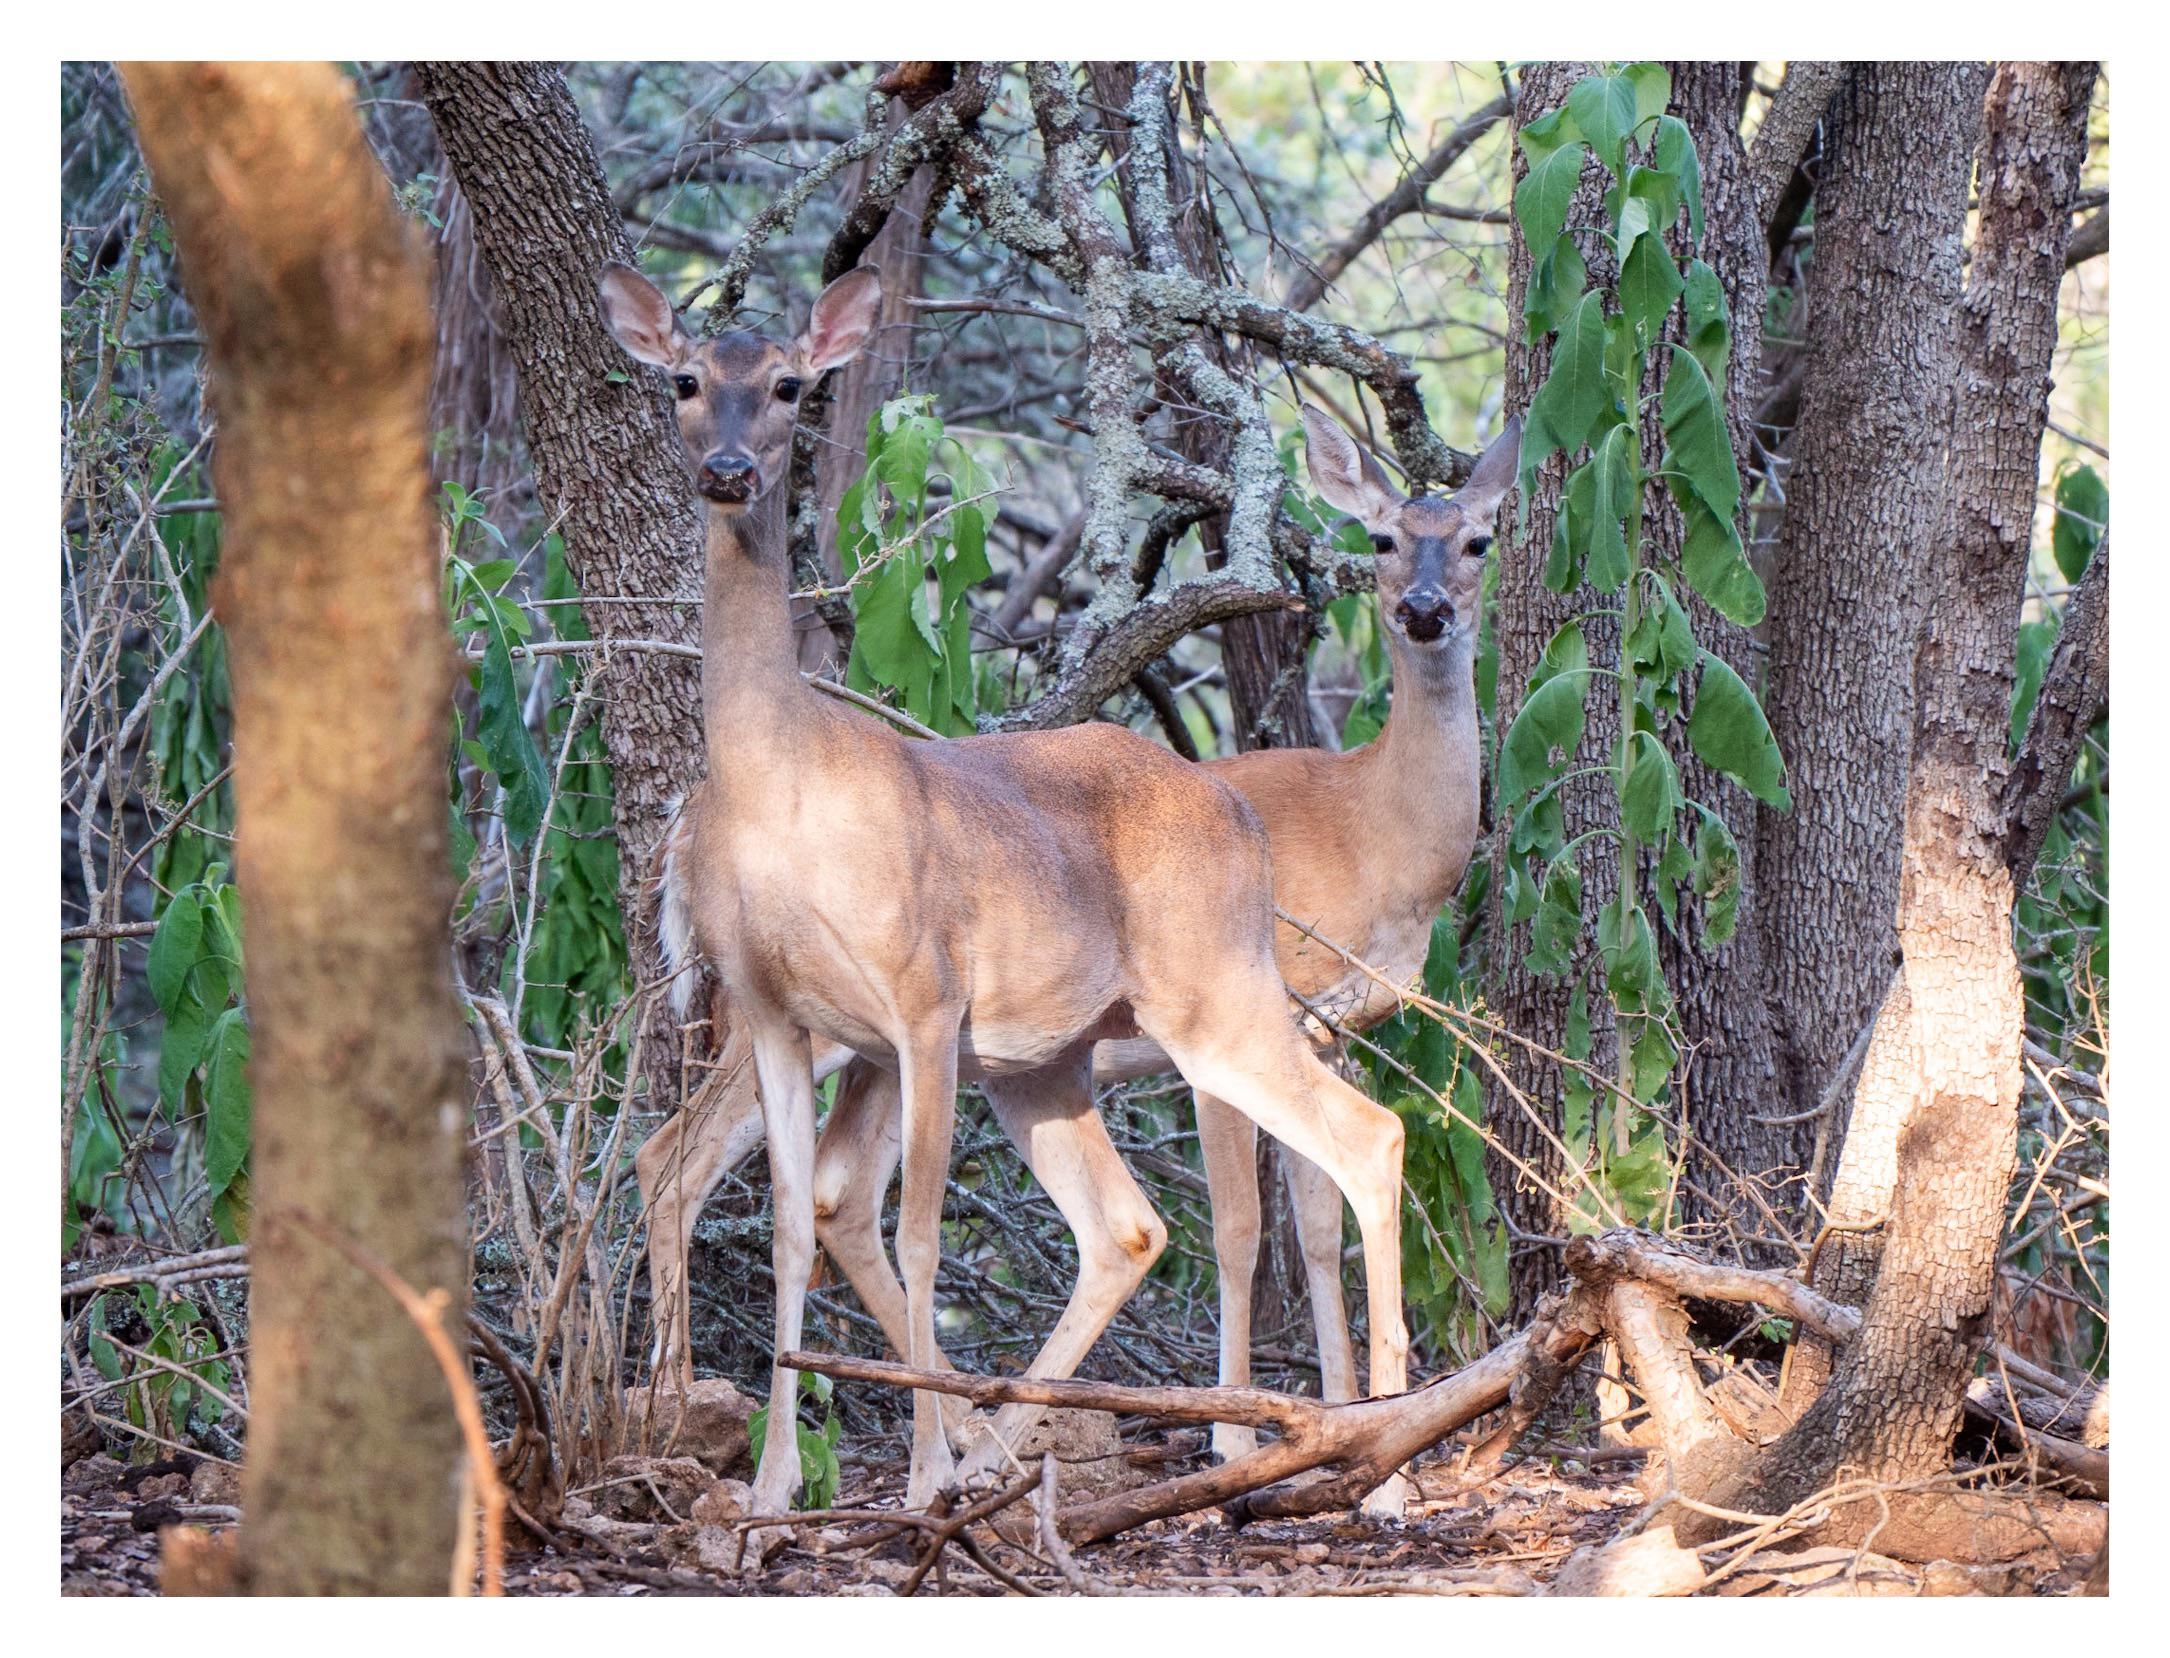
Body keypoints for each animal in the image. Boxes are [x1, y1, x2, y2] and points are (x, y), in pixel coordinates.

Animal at [597, 260, 1414, 1547]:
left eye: (787, 385)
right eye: (683, 378)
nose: (728, 469)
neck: (780, 784)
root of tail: (1233, 809)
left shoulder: (924, 998)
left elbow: (918, 1228)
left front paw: (917, 1478)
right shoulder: (776, 1010)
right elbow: (792, 1225)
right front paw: (775, 1493)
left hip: (1210, 995)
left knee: (1364, 1134)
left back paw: (1381, 1468)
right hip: (1046, 1058)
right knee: (1127, 1222)